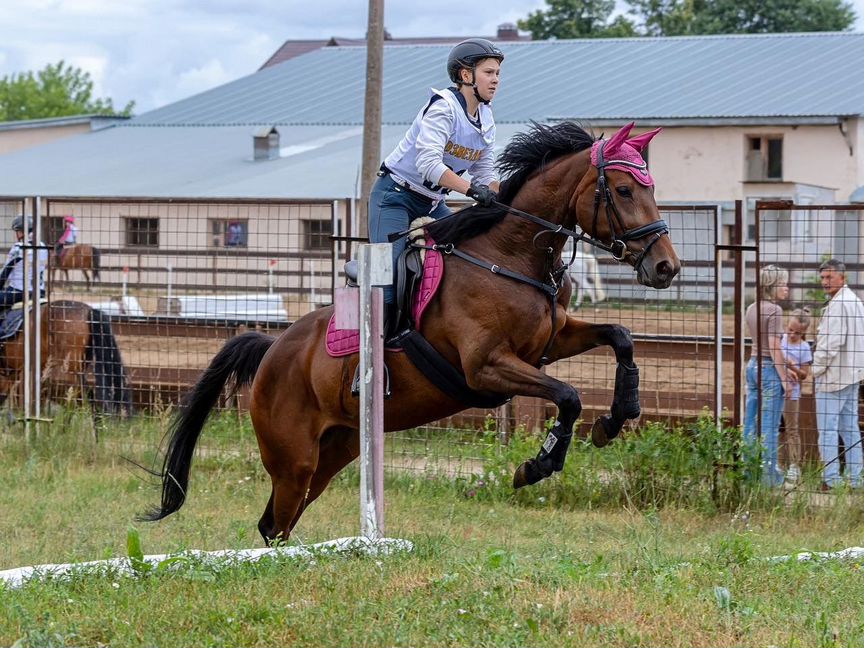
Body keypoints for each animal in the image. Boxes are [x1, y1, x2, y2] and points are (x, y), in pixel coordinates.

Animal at [142, 121, 680, 540]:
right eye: (625, 190)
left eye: (653, 188)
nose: (666, 267)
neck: (509, 257)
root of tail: (274, 349)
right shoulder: (487, 368)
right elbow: (567, 395)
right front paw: (537, 466)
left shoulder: (550, 342)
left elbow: (620, 336)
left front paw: (617, 417)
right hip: (293, 460)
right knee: (275, 524)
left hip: (332, 454)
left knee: (279, 523)